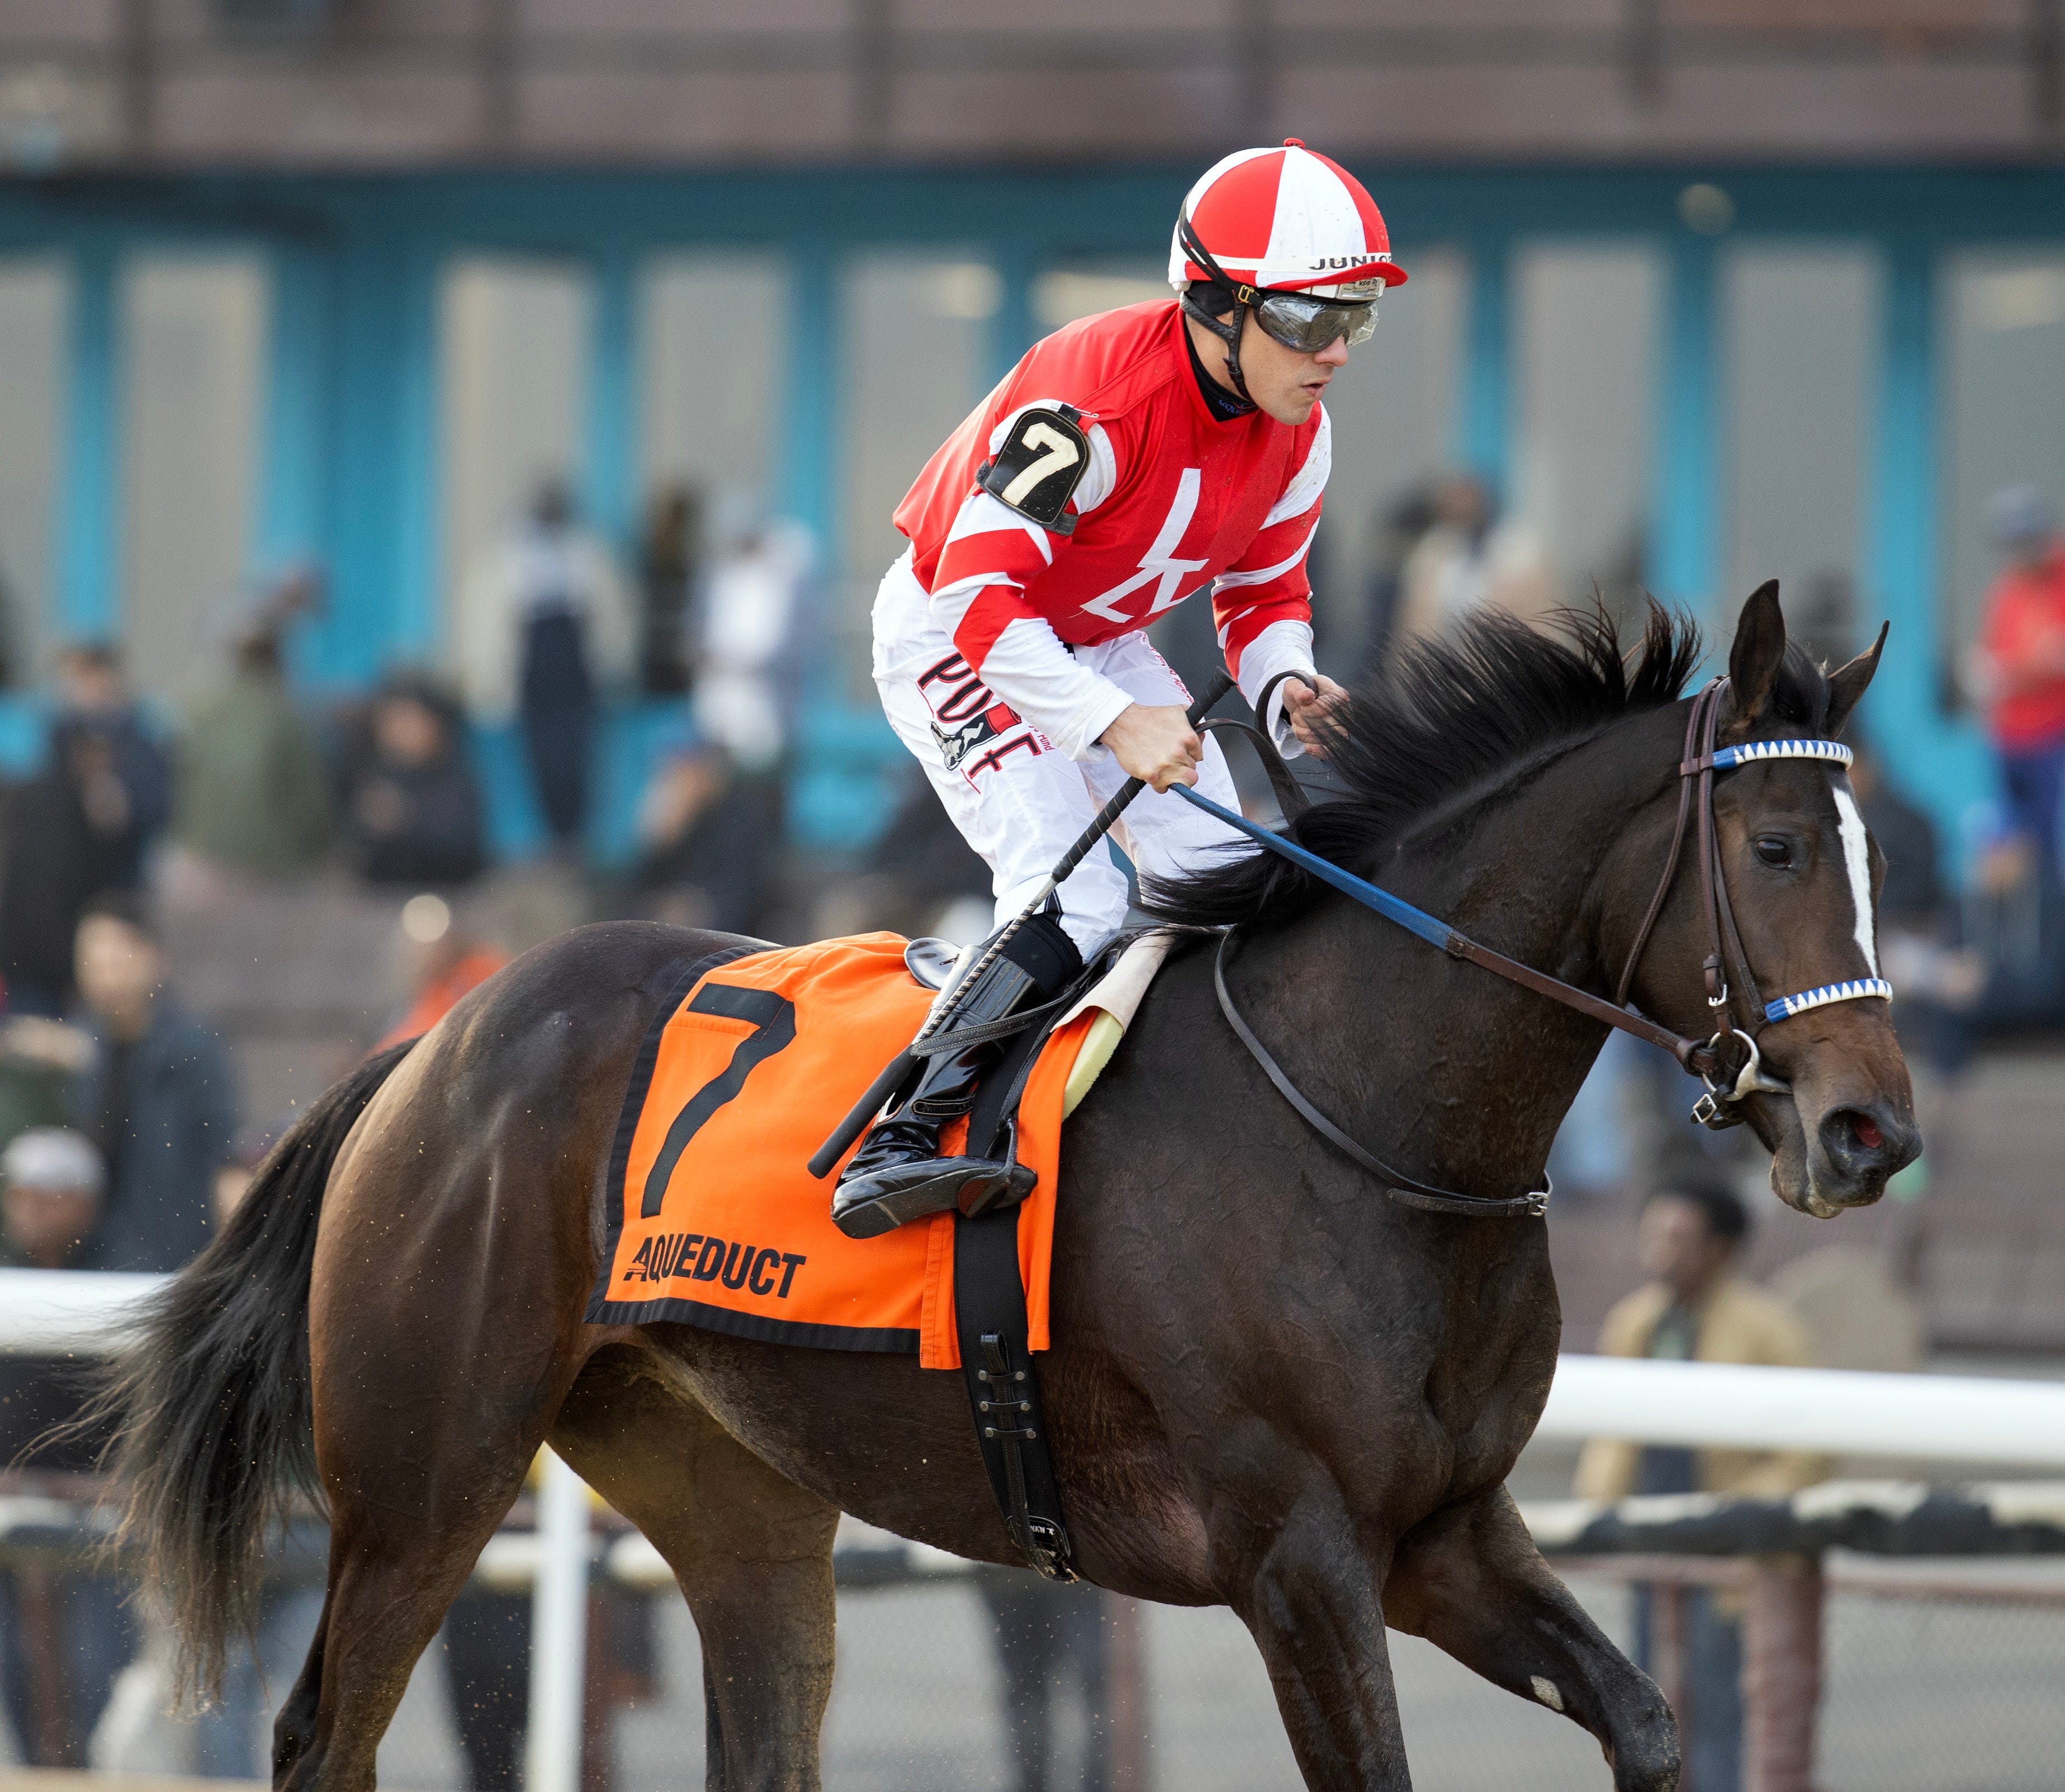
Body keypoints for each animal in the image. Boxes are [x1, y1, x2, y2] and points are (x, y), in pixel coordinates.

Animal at [103, 585, 1916, 1791]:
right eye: (1771, 848)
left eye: (1873, 850)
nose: (1868, 1133)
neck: (1366, 1119)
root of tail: (437, 1038)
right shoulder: (1295, 1552)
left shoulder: (1443, 1531)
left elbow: (1651, 1719)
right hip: (425, 1472)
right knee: (322, 1729)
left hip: (735, 1496)